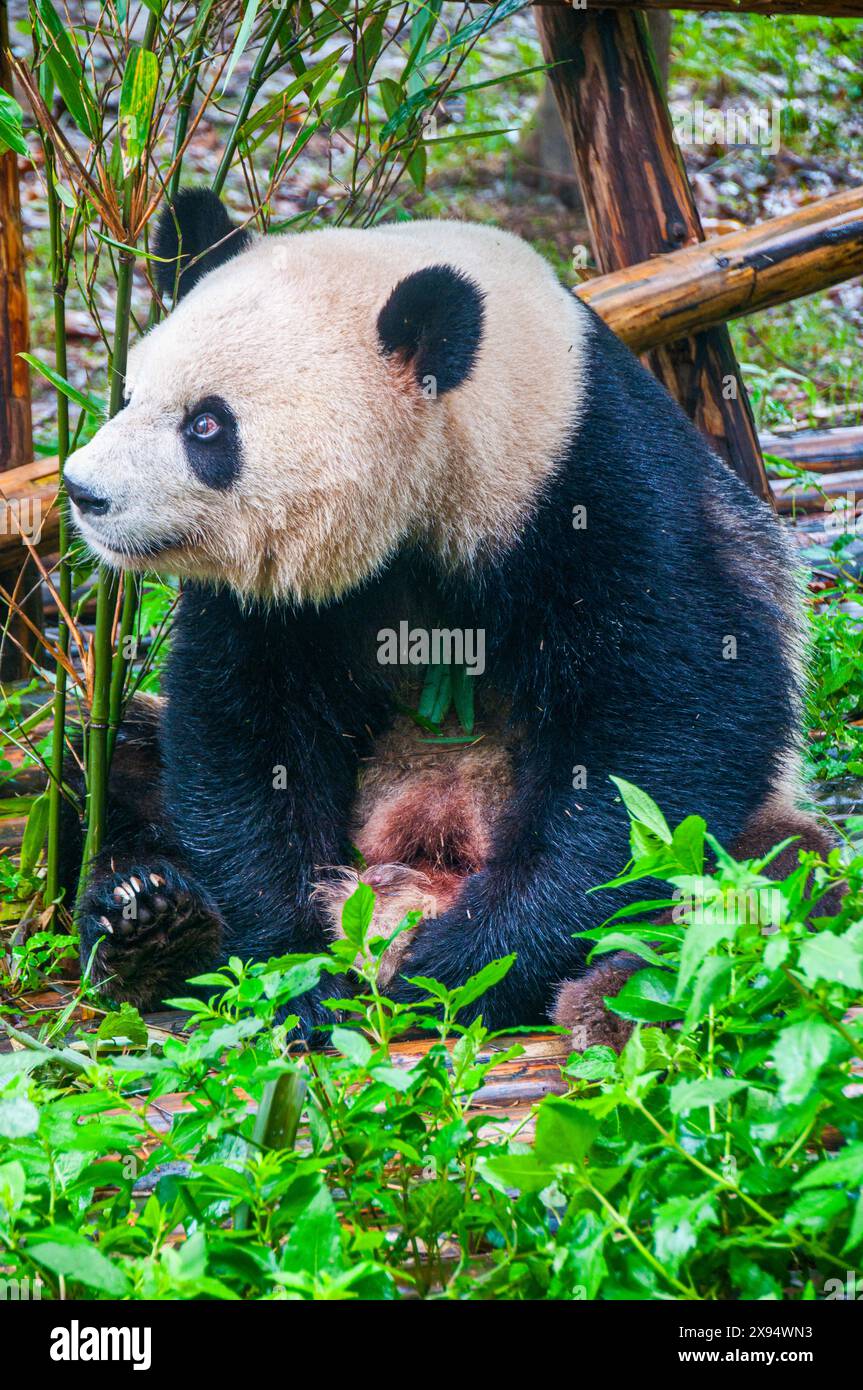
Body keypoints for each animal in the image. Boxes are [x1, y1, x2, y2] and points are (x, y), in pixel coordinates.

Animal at [60, 188, 831, 1045]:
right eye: (130, 396)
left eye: (206, 425)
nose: (83, 491)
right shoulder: (268, 598)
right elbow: (244, 734)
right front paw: (300, 973)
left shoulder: (595, 486)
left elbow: (667, 727)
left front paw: (463, 967)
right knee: (114, 764)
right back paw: (150, 920)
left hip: (761, 836)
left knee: (764, 873)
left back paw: (615, 1000)